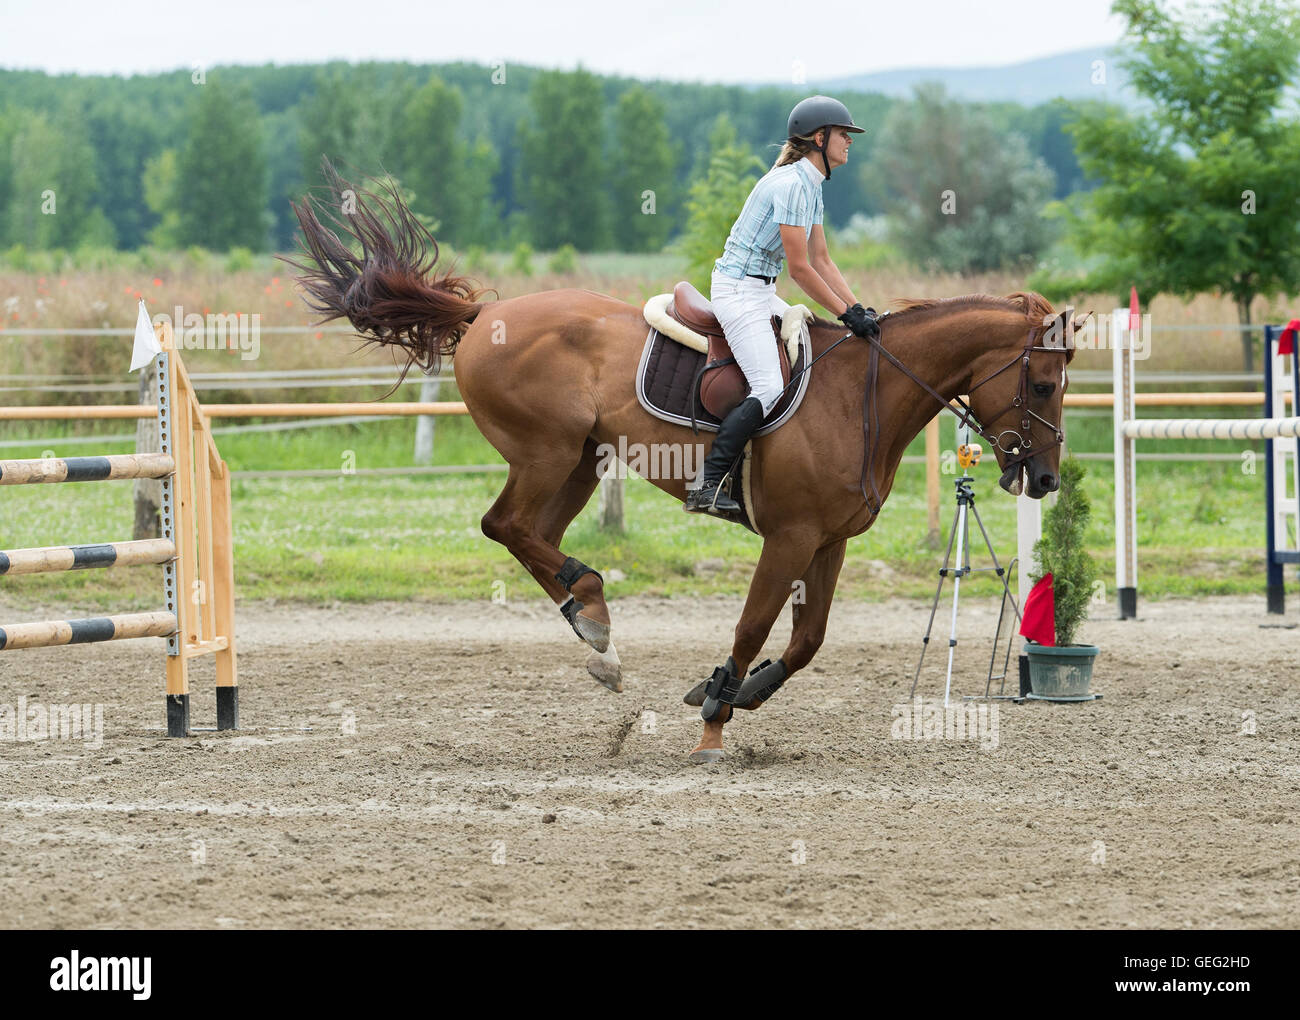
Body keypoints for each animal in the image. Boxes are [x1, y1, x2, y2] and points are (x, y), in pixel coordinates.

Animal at [287, 167, 1081, 762]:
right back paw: (595, 616)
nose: (1043, 480)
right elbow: (753, 627)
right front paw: (713, 723)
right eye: (1043, 385)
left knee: (528, 533)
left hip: (581, 461)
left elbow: (808, 640)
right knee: (505, 524)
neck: (867, 391)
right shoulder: (790, 536)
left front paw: (736, 692)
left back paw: (594, 628)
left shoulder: (827, 541)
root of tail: (484, 317)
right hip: (546, 451)